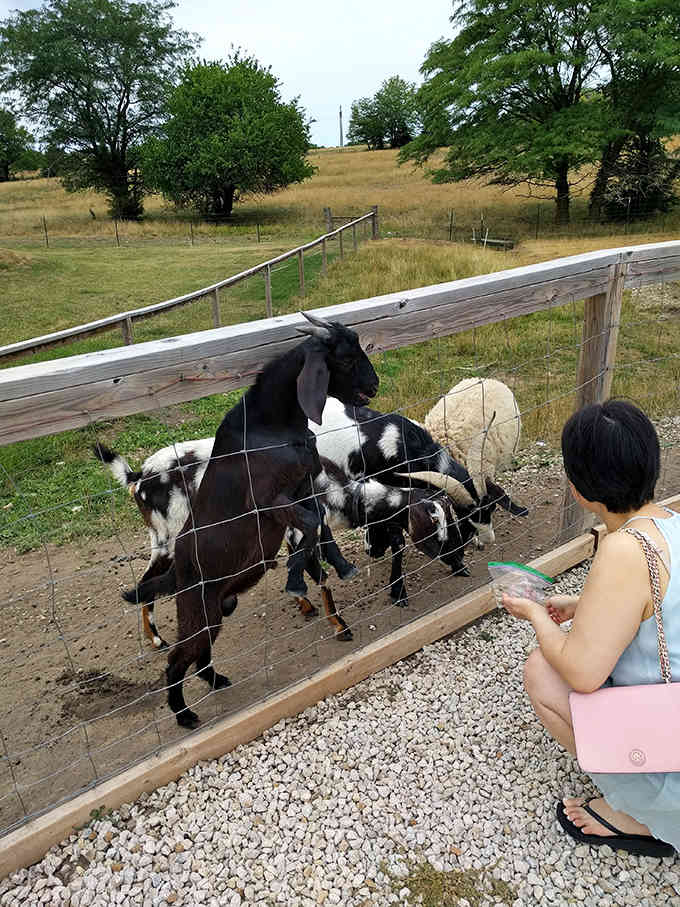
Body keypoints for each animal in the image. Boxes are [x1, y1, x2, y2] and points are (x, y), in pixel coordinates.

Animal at [127, 312, 379, 727]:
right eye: (343, 359)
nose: (373, 386)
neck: (269, 426)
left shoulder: (303, 486)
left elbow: (318, 523)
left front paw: (339, 565)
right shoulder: (268, 501)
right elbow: (308, 524)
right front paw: (297, 580)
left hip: (214, 610)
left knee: (200, 654)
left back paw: (217, 681)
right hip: (196, 606)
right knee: (177, 659)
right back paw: (184, 715)